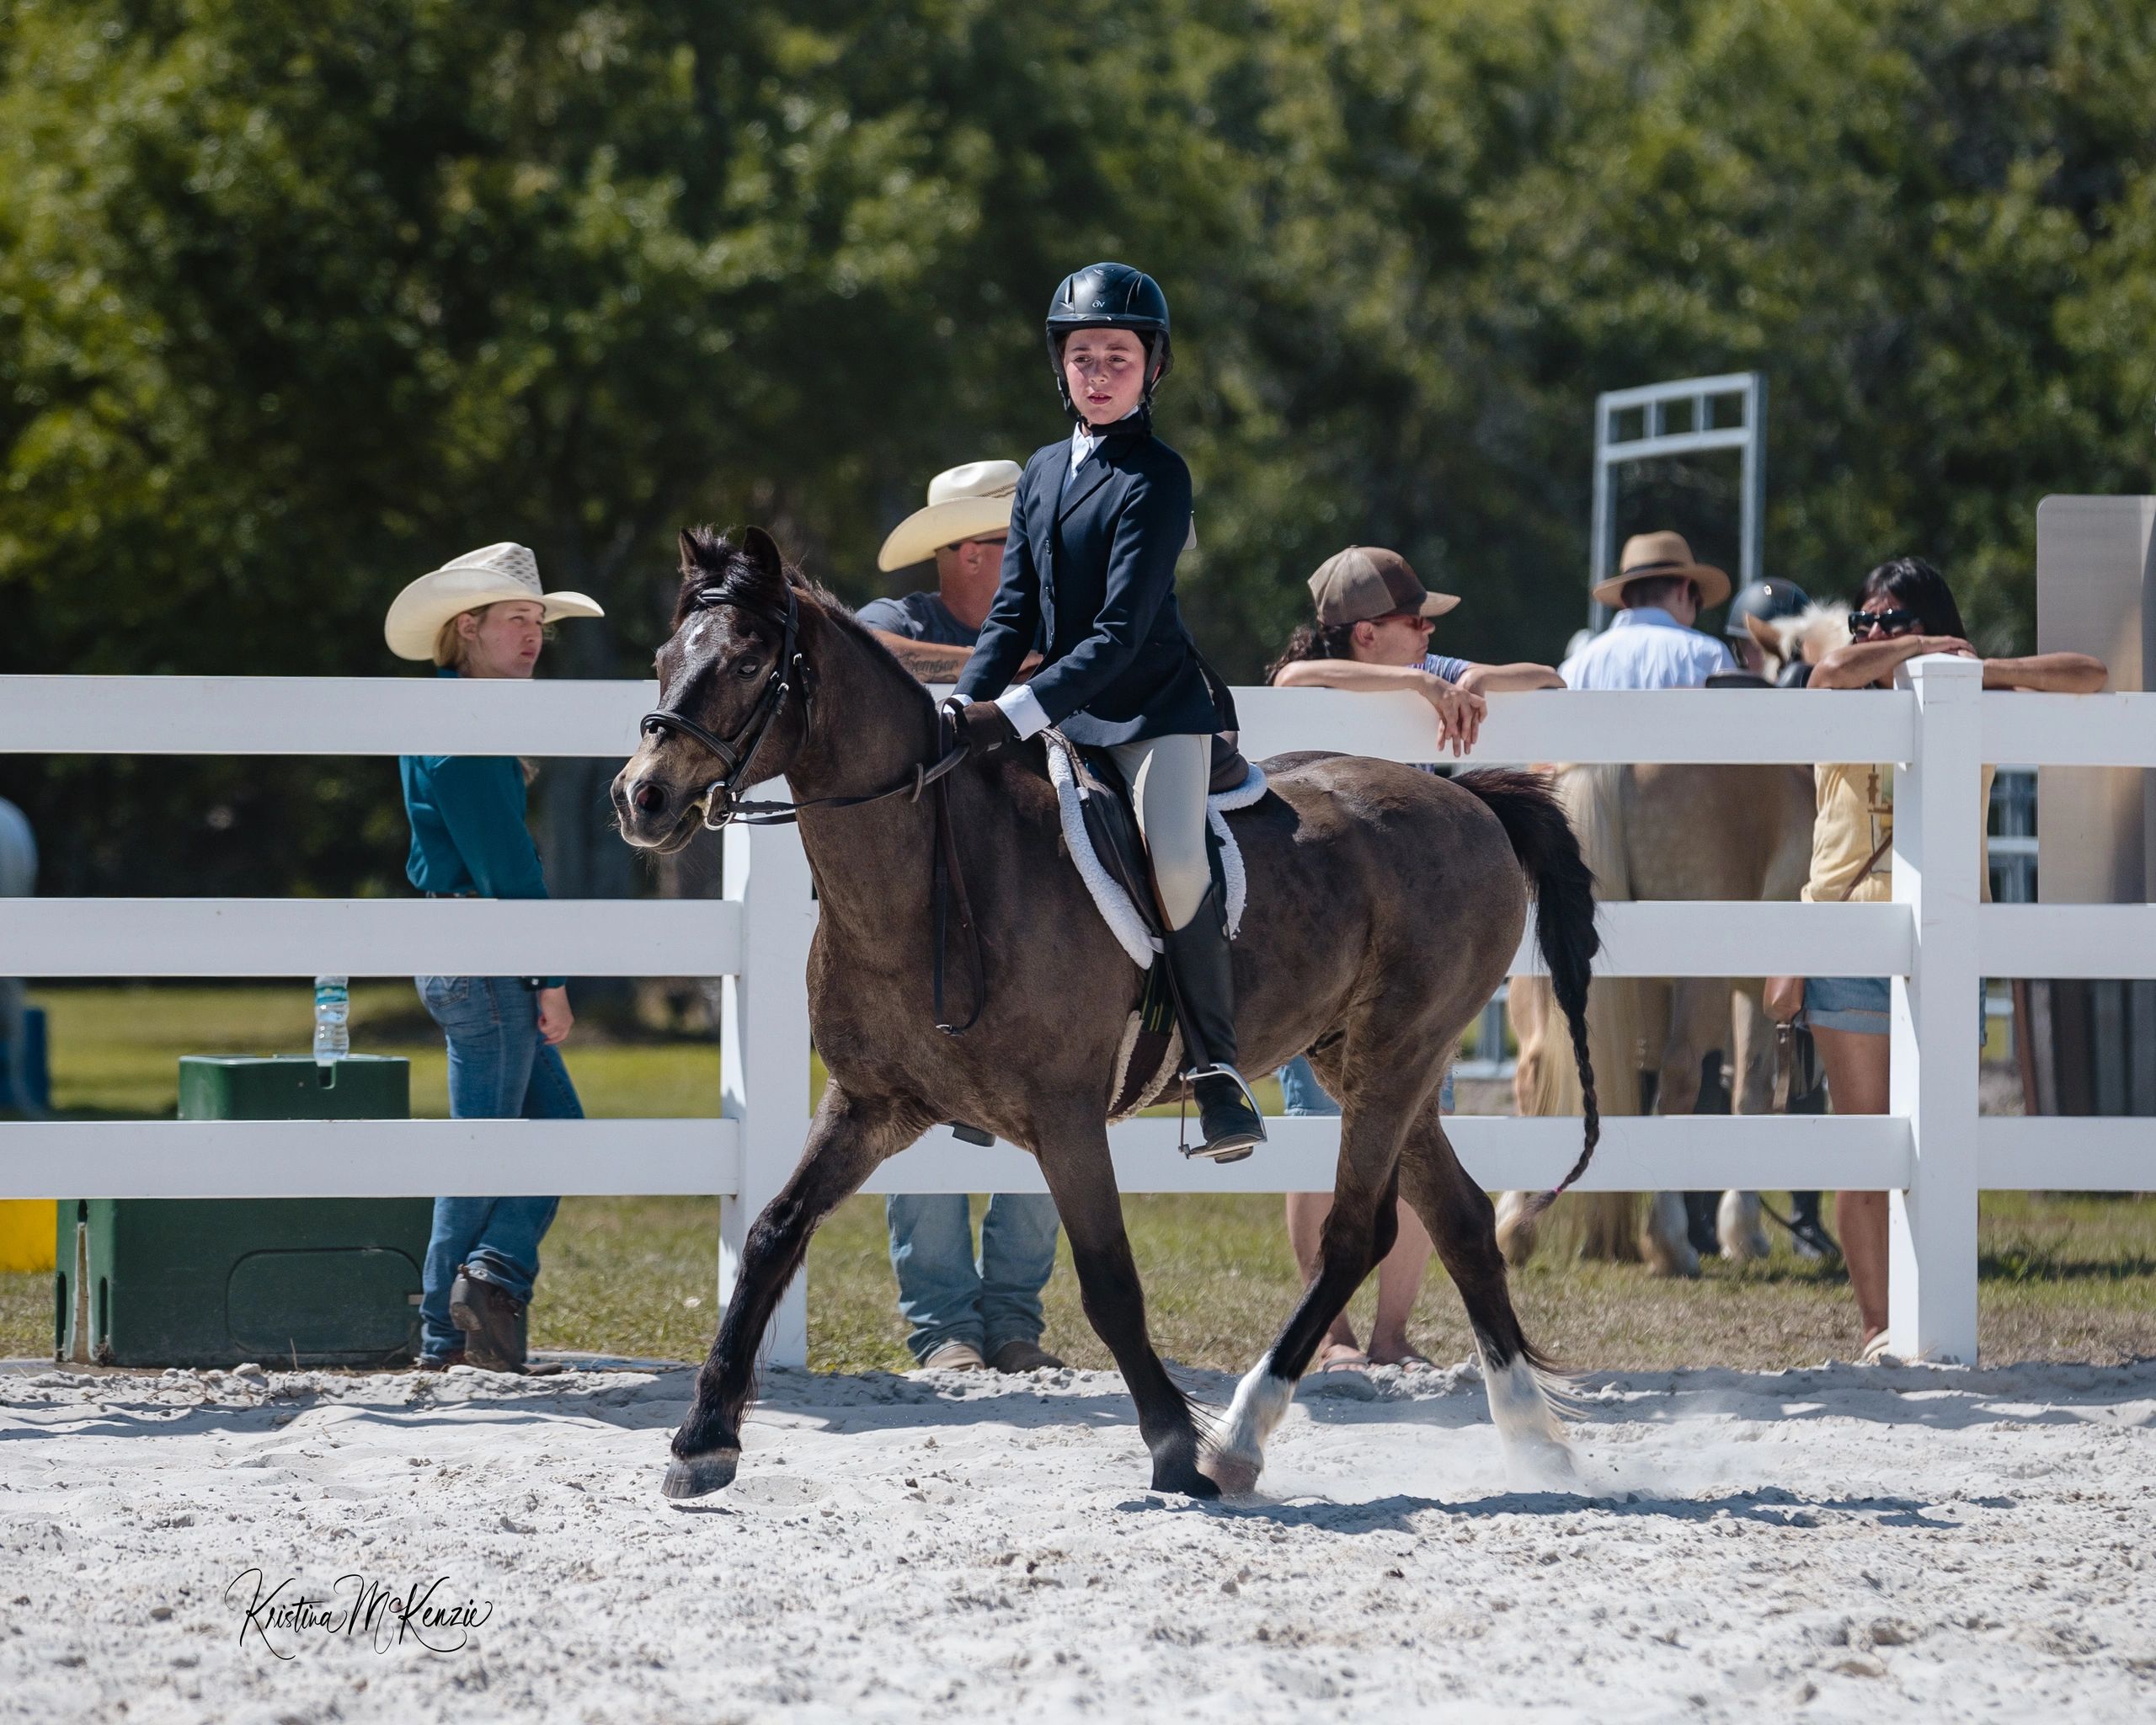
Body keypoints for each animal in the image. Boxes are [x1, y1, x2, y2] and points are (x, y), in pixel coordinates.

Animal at [612, 526, 1603, 1500]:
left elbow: (1109, 1281)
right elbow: (771, 1233)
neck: (932, 876)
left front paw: (1174, 1449)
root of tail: (1466, 797)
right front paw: (702, 1439)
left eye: (747, 663)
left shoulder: (1063, 1116)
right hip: (1370, 1061)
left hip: (1395, 1057)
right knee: (1461, 1221)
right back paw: (1532, 1441)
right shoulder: (871, 1105)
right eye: (663, 658)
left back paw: (1239, 1440)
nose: (641, 797)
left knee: (1356, 1234)